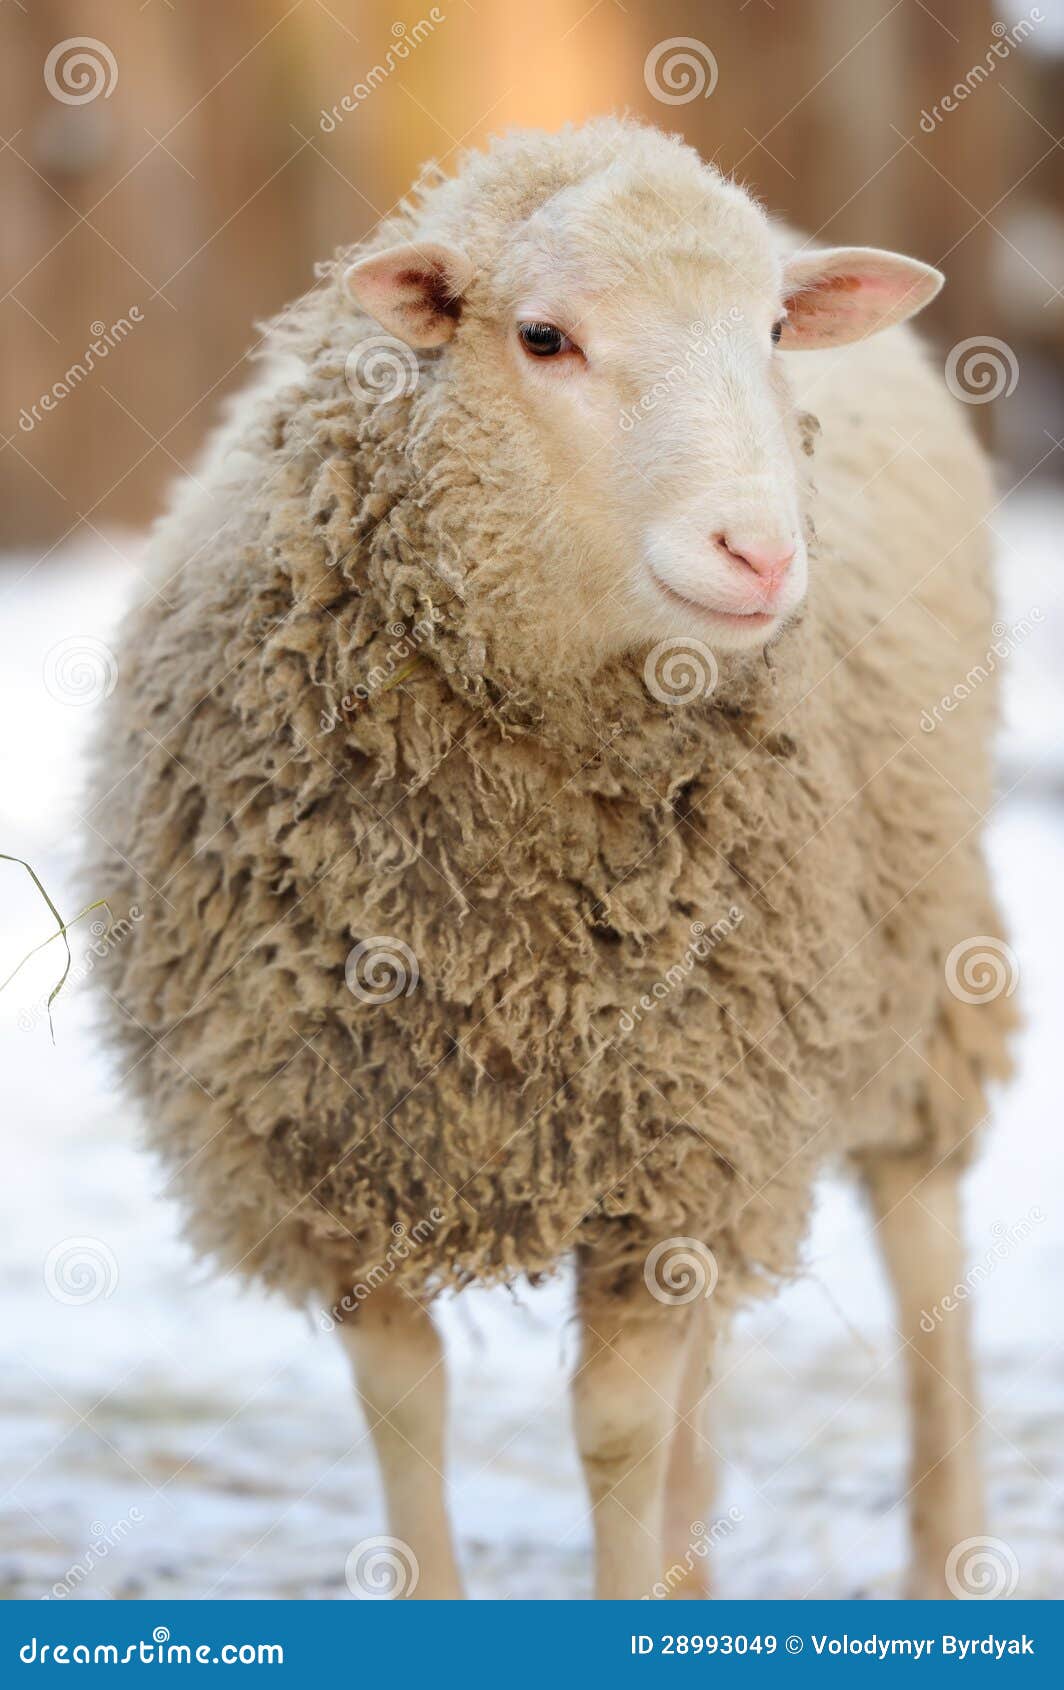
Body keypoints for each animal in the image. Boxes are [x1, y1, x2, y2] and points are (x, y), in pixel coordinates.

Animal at [85, 116, 1015, 1601]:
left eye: (771, 329)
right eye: (541, 337)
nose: (760, 554)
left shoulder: (670, 1156)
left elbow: (617, 1433)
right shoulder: (338, 1153)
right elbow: (409, 1409)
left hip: (914, 962)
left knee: (922, 1242)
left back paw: (941, 1560)